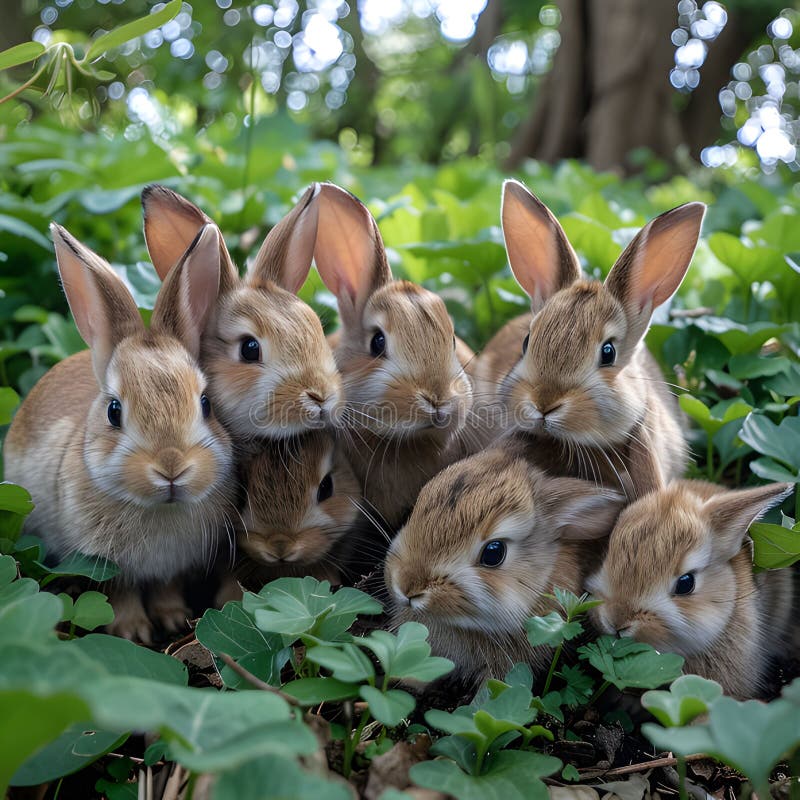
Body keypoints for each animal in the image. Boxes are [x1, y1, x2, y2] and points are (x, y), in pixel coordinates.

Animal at [3, 224, 237, 643]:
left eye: (207, 403)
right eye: (114, 411)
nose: (171, 467)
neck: (159, 508)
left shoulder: (172, 568)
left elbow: (166, 588)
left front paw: (173, 619)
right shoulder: (108, 567)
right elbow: (121, 594)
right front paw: (133, 633)